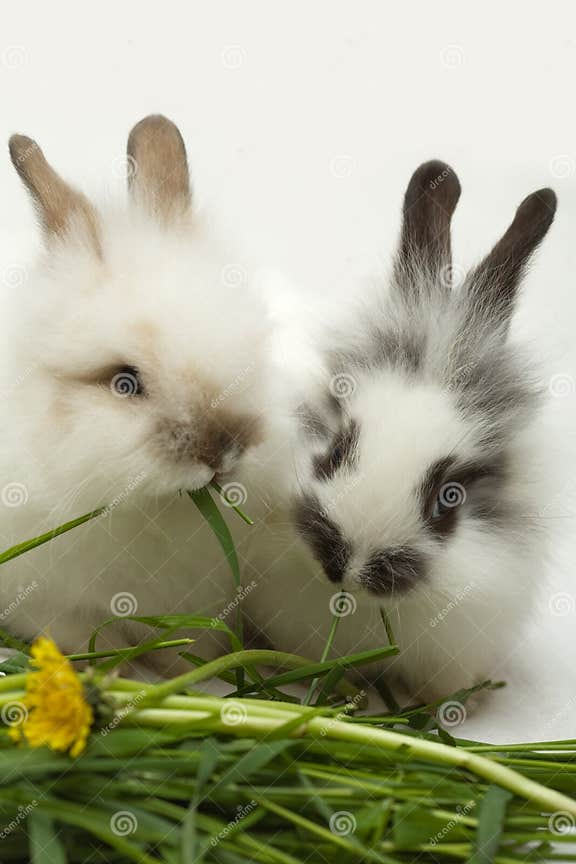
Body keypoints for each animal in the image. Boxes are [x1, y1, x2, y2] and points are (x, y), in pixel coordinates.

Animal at [0, 115, 272, 672]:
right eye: (125, 382)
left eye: (247, 347)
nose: (223, 451)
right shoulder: (50, 600)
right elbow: (76, 636)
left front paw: (191, 669)